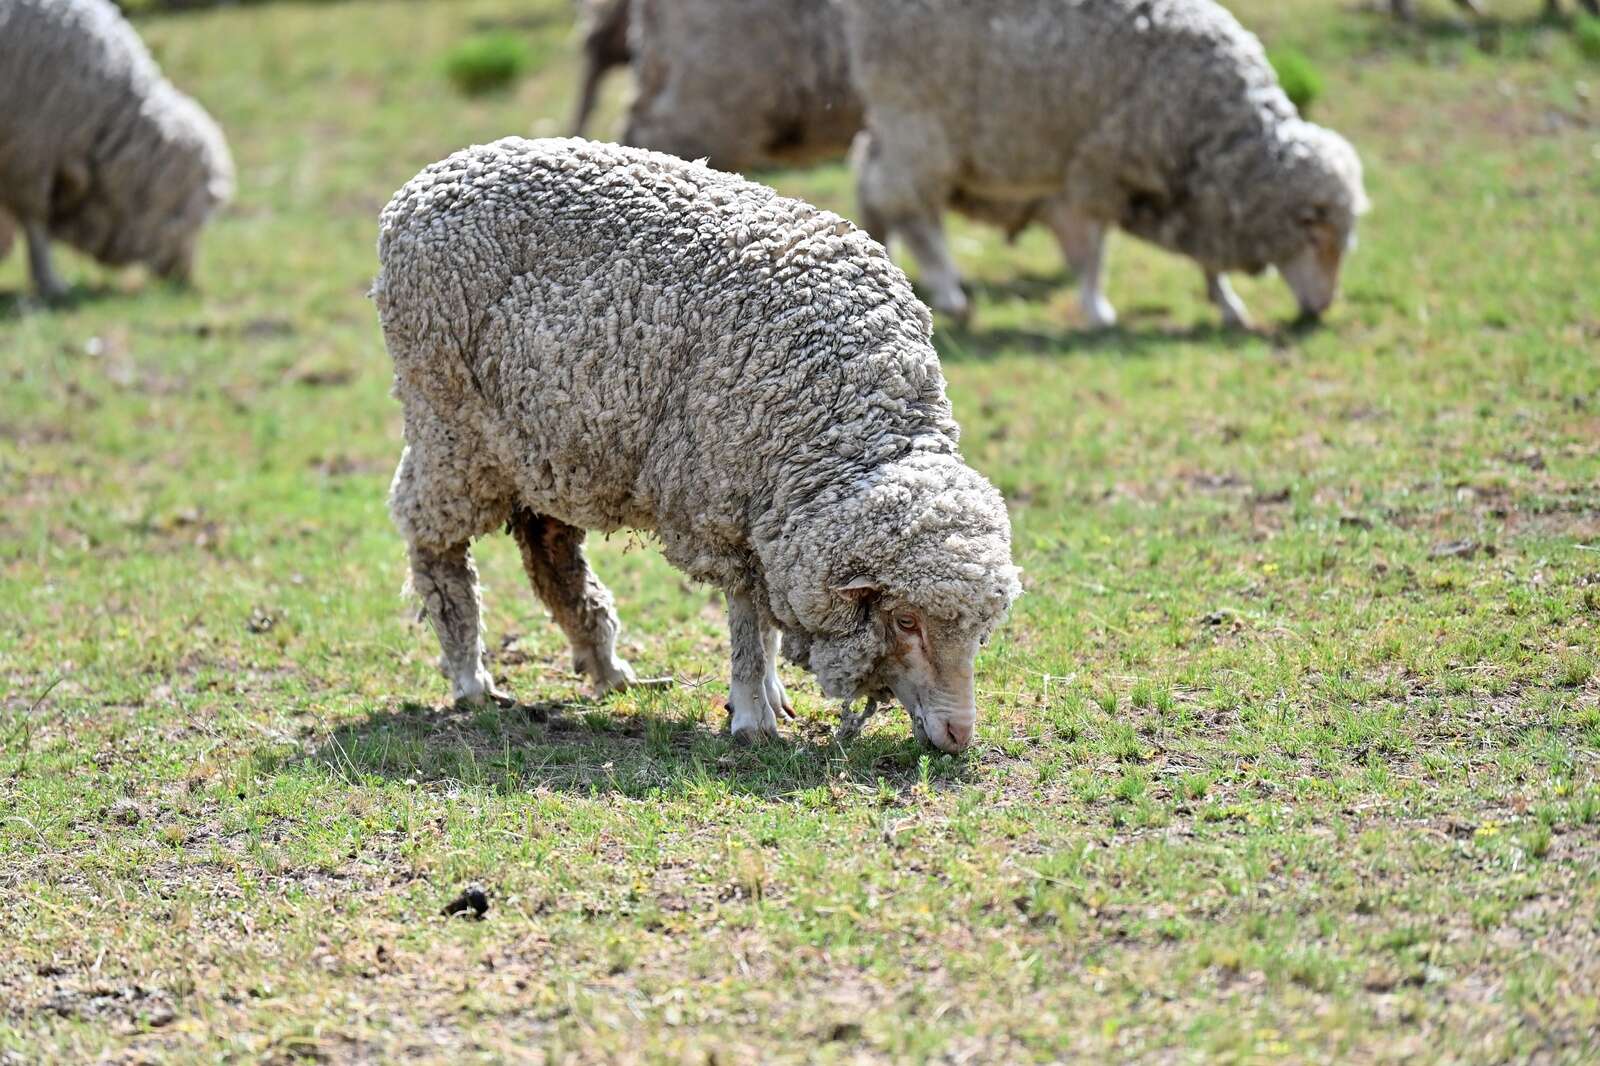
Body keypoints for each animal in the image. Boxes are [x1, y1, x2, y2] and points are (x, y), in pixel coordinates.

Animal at [374, 137, 1020, 753]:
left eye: (980, 629)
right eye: (906, 620)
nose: (959, 737)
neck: (846, 410)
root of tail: (426, 182)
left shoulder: (765, 508)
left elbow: (763, 619)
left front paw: (768, 697)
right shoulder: (724, 503)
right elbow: (746, 622)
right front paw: (753, 717)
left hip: (549, 443)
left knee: (550, 549)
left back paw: (607, 669)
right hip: (450, 421)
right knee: (435, 543)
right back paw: (470, 676)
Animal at [839, 0, 1369, 329]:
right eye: (1318, 238)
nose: (1323, 307)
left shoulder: (1194, 196)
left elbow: (1206, 259)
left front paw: (1228, 305)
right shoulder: (1100, 169)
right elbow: (1092, 251)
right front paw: (1097, 309)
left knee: (873, 184)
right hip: (918, 117)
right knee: (904, 199)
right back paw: (949, 293)